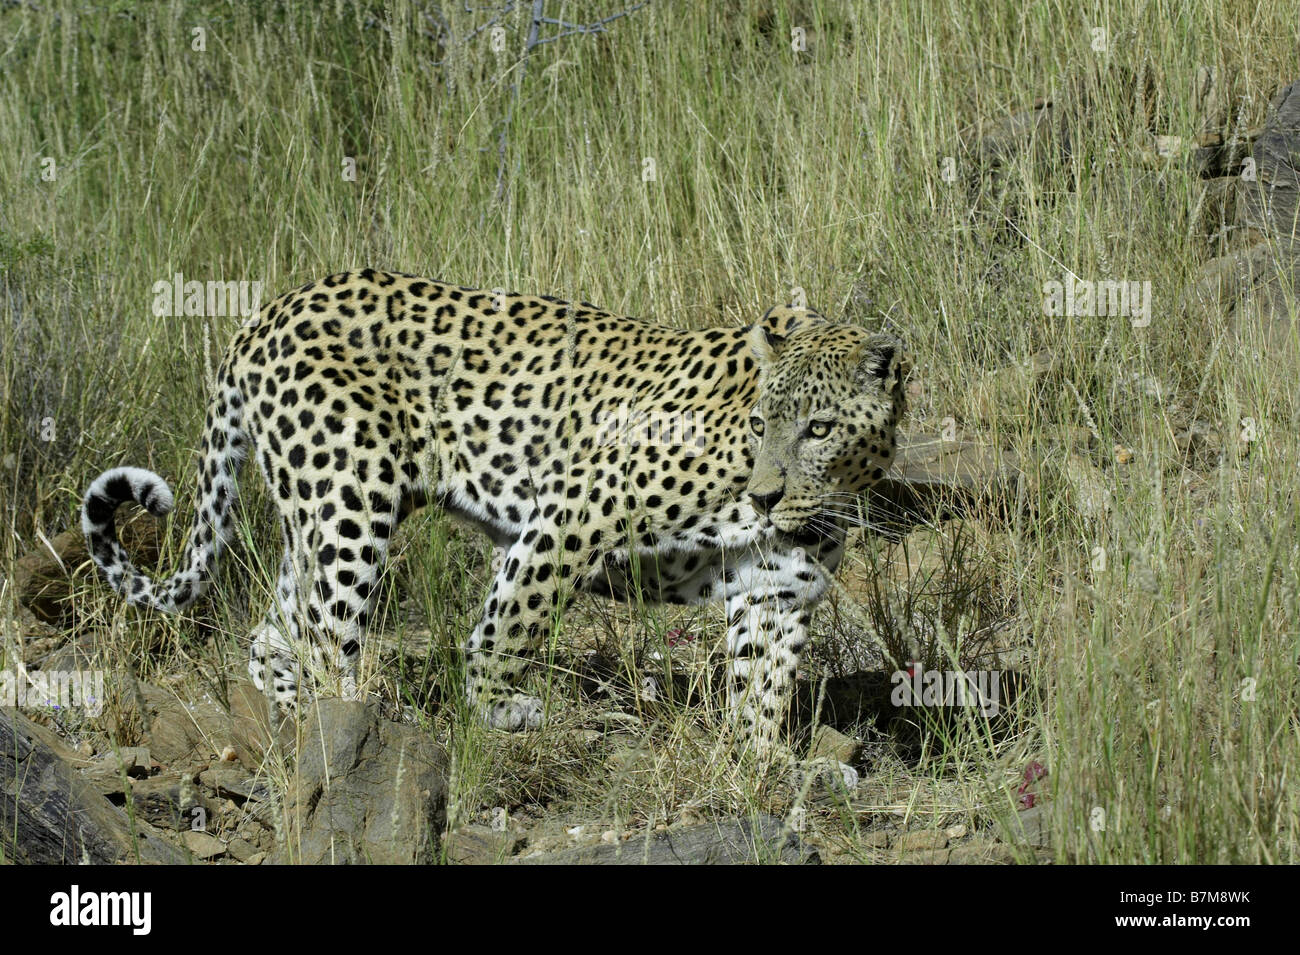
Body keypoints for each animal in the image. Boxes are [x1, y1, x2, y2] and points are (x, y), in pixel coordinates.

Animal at [82, 269, 908, 756]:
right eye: (765, 420)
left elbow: (765, 683)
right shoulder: (580, 503)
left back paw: (297, 723)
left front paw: (764, 764)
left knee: (271, 632)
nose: (767, 494)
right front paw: (492, 704)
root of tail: (267, 311)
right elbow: (513, 617)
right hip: (352, 497)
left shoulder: (779, 585)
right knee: (323, 635)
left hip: (315, 514)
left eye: (818, 428)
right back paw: (361, 730)